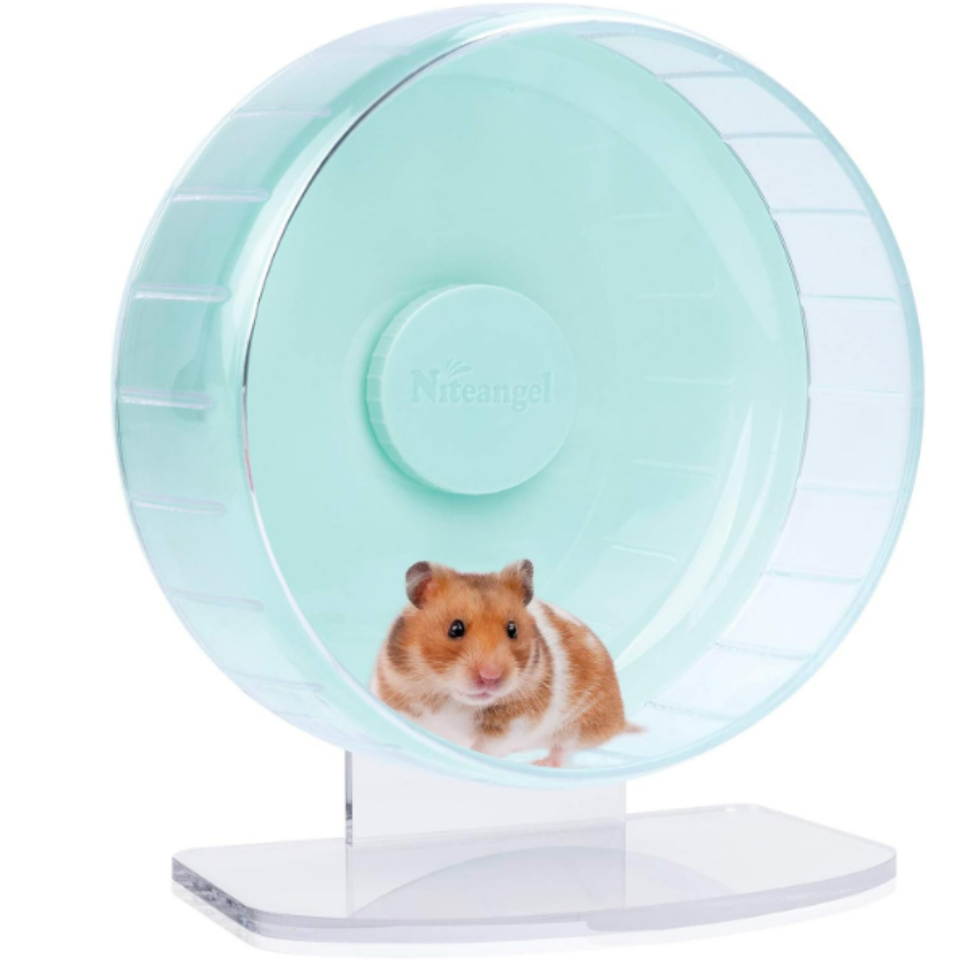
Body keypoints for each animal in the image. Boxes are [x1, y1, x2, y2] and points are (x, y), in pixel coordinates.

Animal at [370, 559, 641, 767]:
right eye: (455, 628)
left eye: (512, 629)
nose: (491, 677)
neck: (454, 699)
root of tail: (619, 719)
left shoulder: (513, 725)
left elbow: (485, 747)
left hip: (581, 723)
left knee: (563, 749)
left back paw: (541, 764)